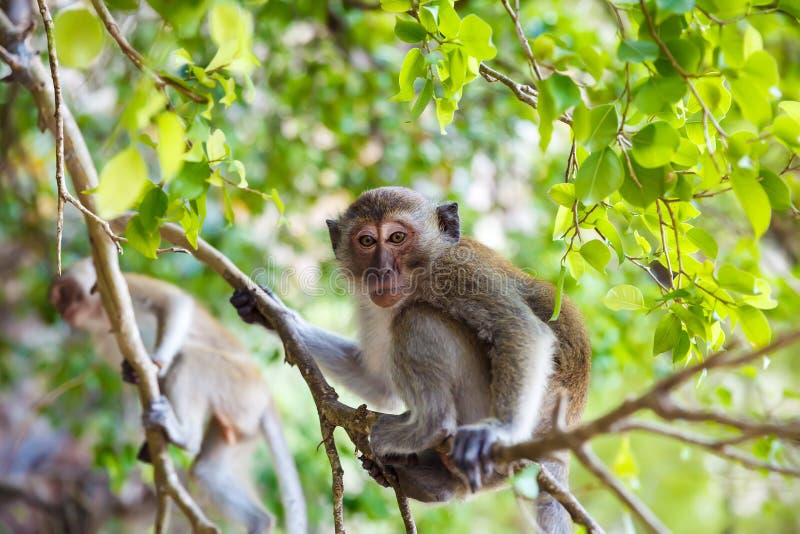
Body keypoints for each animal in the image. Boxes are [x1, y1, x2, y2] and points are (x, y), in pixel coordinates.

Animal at [49, 258, 307, 534]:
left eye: (63, 292)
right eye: (57, 300)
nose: (62, 311)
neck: (98, 313)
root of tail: (266, 393)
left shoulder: (119, 286)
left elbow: (174, 302)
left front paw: (156, 363)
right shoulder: (101, 337)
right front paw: (131, 374)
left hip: (240, 388)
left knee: (190, 359)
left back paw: (185, 436)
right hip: (244, 421)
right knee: (207, 473)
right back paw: (259, 521)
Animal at [231, 186, 591, 533]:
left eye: (397, 237)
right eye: (366, 241)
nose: (382, 270)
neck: (420, 275)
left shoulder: (457, 270)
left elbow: (518, 329)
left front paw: (498, 432)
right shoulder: (373, 303)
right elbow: (376, 382)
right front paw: (270, 313)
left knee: (415, 319)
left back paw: (430, 427)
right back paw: (428, 480)